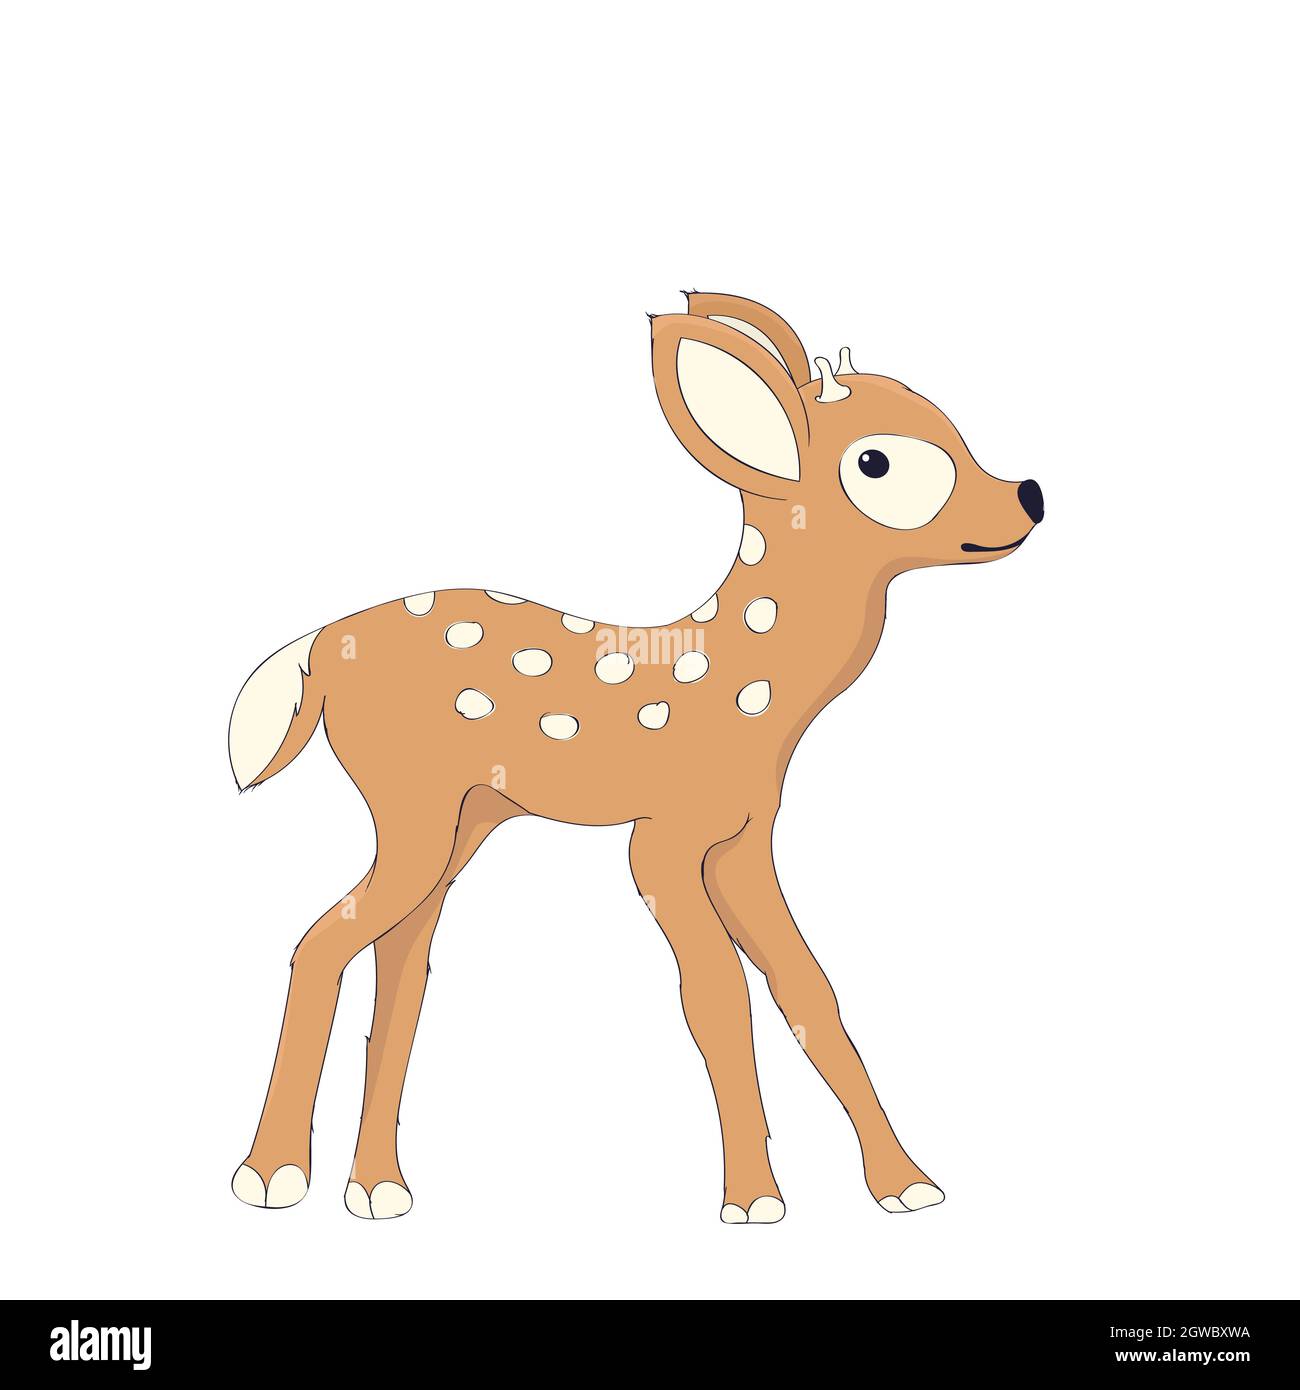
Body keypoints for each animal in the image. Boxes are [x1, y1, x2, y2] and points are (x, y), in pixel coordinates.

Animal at [228, 292, 1043, 1223]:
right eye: (877, 461)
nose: (1028, 494)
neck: (745, 689)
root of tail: (318, 644)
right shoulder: (661, 841)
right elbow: (718, 996)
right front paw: (753, 1199)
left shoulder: (743, 841)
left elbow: (808, 989)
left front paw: (905, 1184)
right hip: (412, 802)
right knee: (320, 943)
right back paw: (270, 1176)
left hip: (462, 820)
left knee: (401, 961)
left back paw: (377, 1188)